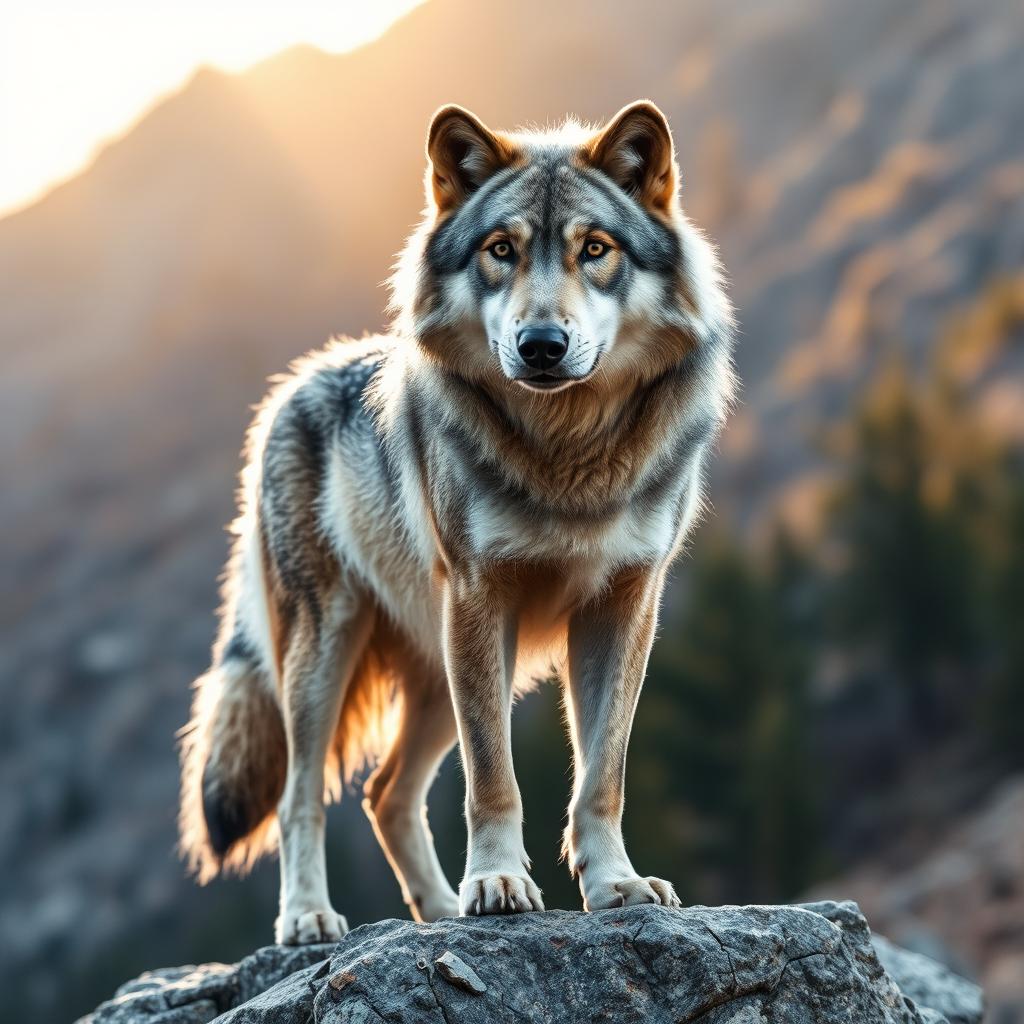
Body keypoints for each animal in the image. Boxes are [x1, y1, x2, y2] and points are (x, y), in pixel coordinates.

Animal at [178, 99, 735, 943]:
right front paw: (499, 883)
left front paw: (616, 885)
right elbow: (494, 780)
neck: (568, 452)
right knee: (302, 796)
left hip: (441, 673)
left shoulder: (627, 607)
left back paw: (437, 913)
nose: (542, 346)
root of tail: (293, 385)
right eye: (501, 250)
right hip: (332, 655)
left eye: (594, 250)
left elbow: (601, 777)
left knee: (384, 794)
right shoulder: (481, 598)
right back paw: (310, 917)